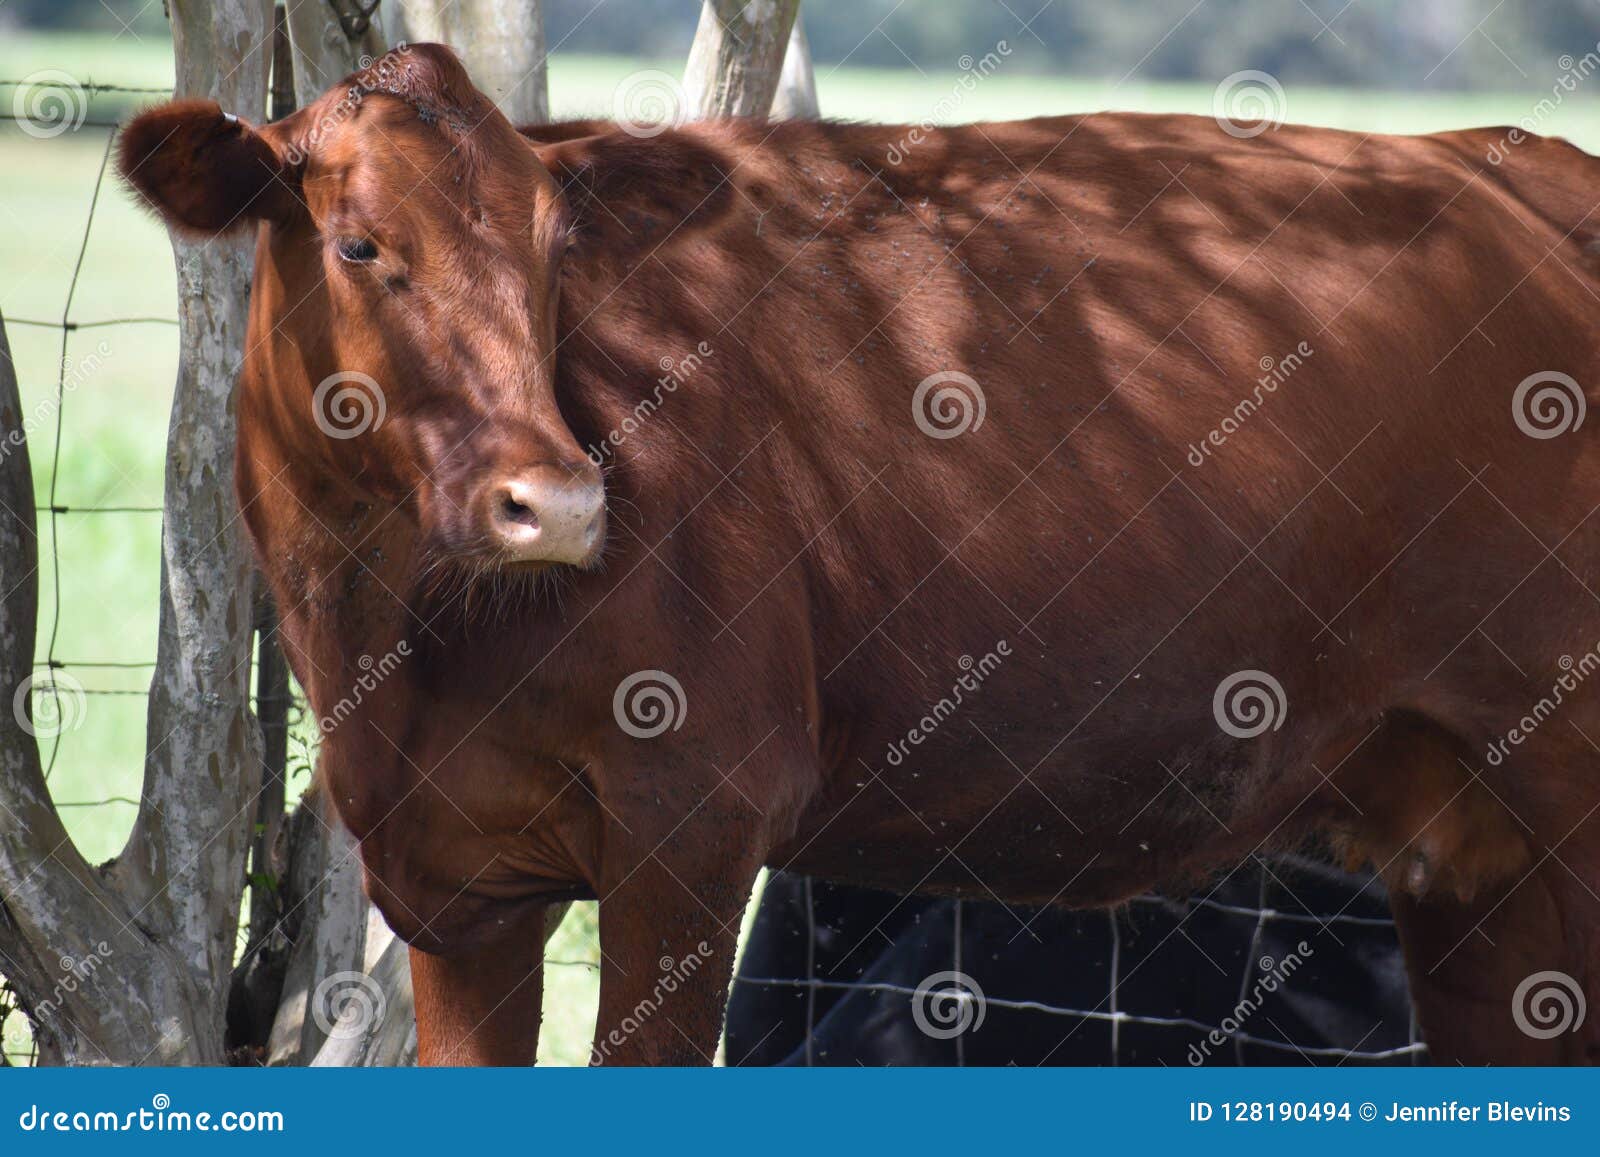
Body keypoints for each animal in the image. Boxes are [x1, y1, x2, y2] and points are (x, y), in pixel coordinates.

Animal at [119, 43, 1600, 1065]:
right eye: (360, 245)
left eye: (551, 253)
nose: (559, 503)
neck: (395, 624)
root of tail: (1516, 158)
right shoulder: (453, 881)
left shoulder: (692, 826)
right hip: (1469, 859)